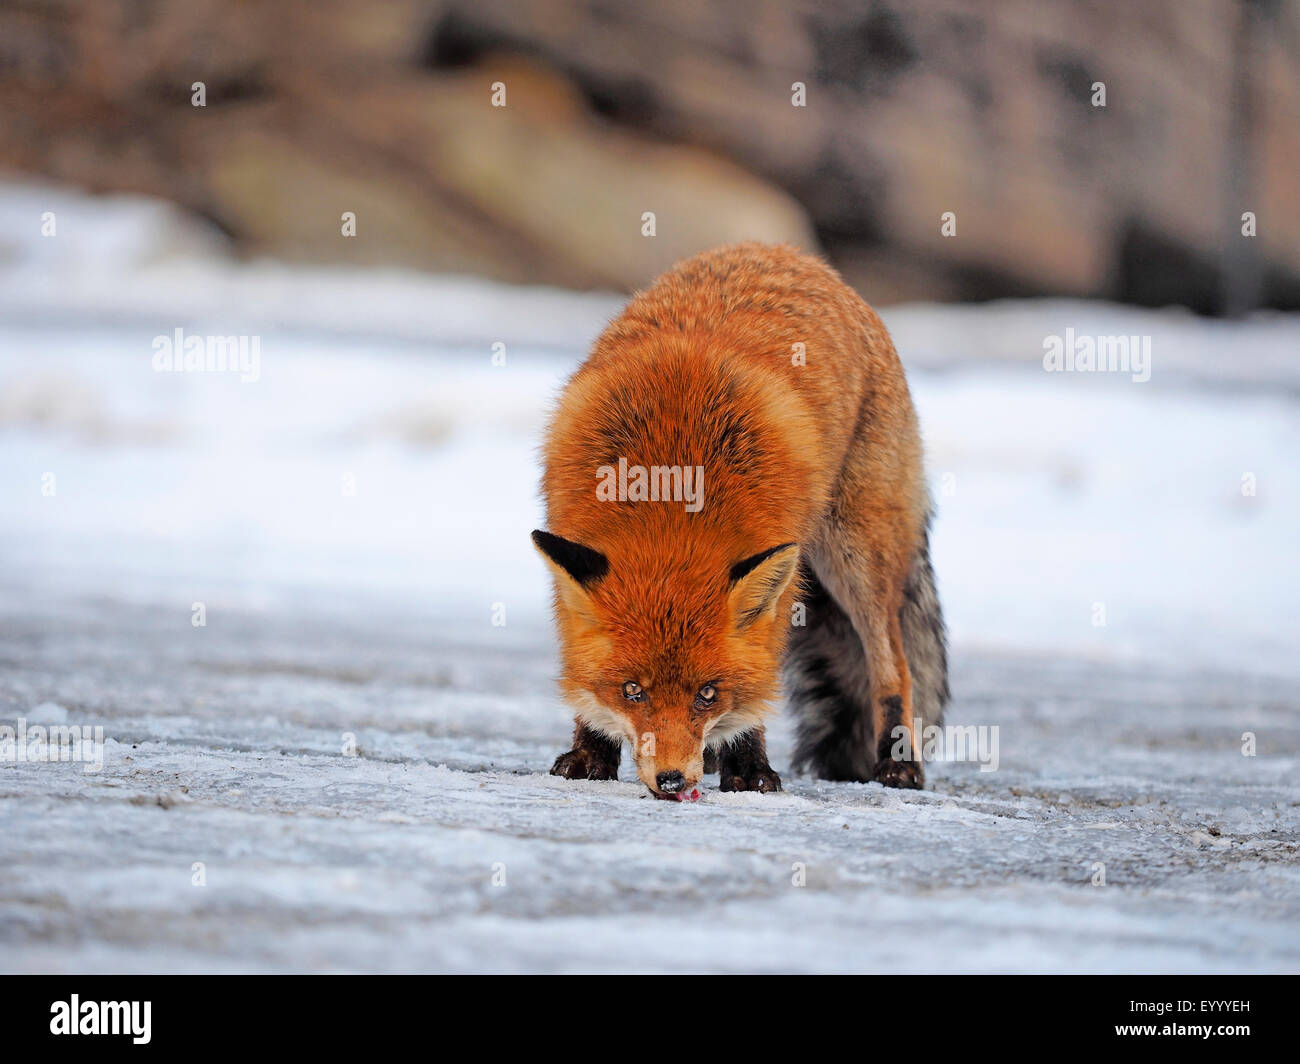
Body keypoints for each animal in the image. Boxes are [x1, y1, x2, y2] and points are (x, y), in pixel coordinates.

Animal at [532, 242, 948, 801]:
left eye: (708, 693)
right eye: (632, 690)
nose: (671, 780)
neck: (673, 490)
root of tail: (786, 253)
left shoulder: (783, 583)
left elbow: (757, 685)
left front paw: (749, 768)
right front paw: (590, 753)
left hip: (854, 559)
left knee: (893, 667)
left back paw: (898, 763)